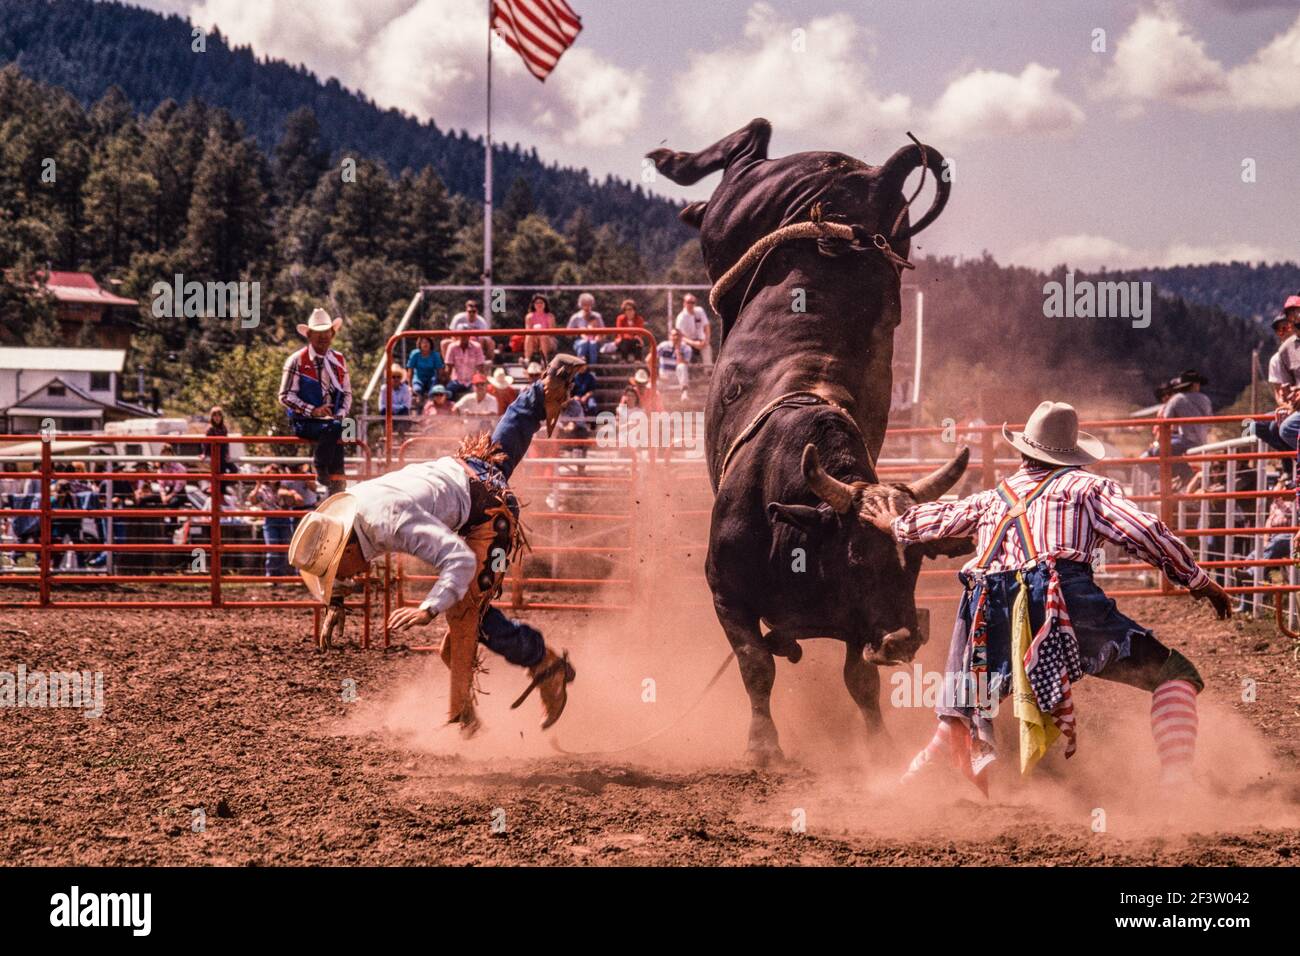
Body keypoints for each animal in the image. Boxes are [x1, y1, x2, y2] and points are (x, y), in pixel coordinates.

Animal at [648, 118, 972, 766]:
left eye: (918, 560)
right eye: (857, 556)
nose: (903, 640)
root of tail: (874, 175)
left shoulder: (857, 624)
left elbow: (860, 679)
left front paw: (876, 745)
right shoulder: (725, 594)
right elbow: (755, 665)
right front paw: (763, 743)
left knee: (753, 140)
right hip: (737, 212)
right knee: (744, 149)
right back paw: (678, 165)